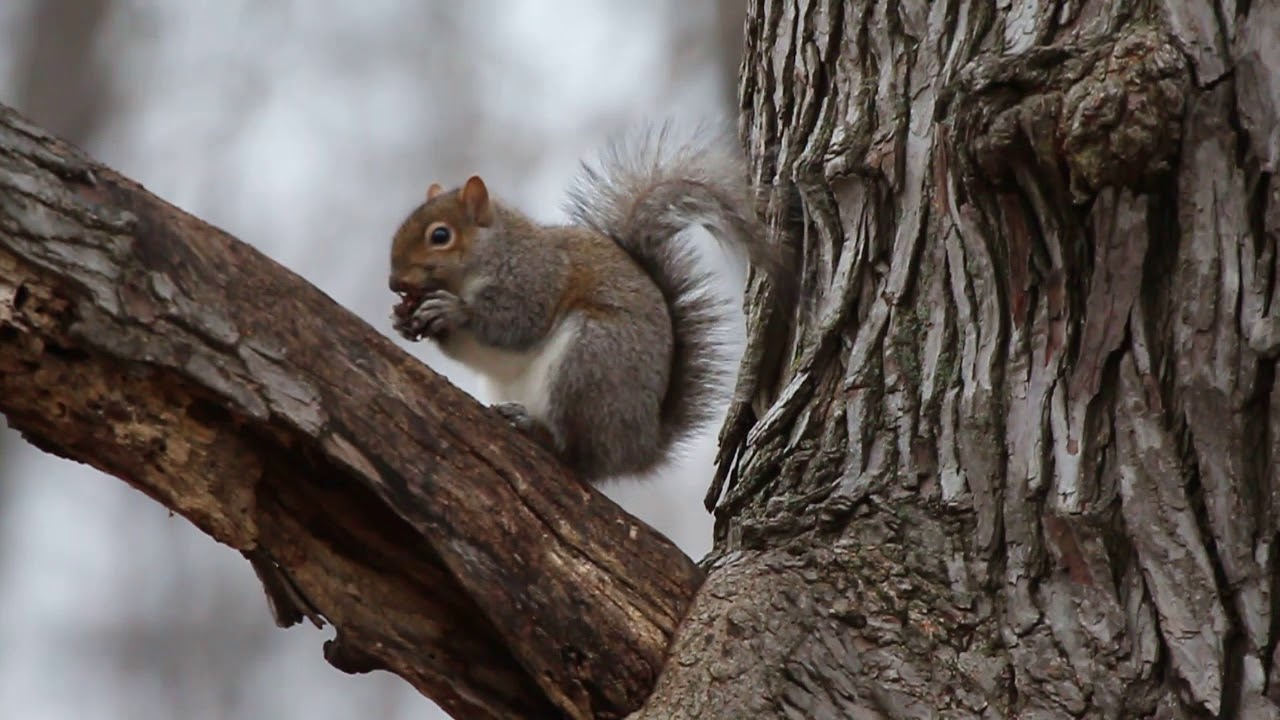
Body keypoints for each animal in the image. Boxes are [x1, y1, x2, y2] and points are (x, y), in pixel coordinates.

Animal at [388, 125, 787, 483]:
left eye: (440, 235)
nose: (394, 283)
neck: (494, 251)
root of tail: (638, 448)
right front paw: (404, 320)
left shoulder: (537, 277)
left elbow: (516, 324)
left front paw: (452, 311)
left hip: (588, 363)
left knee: (576, 456)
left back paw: (535, 430)